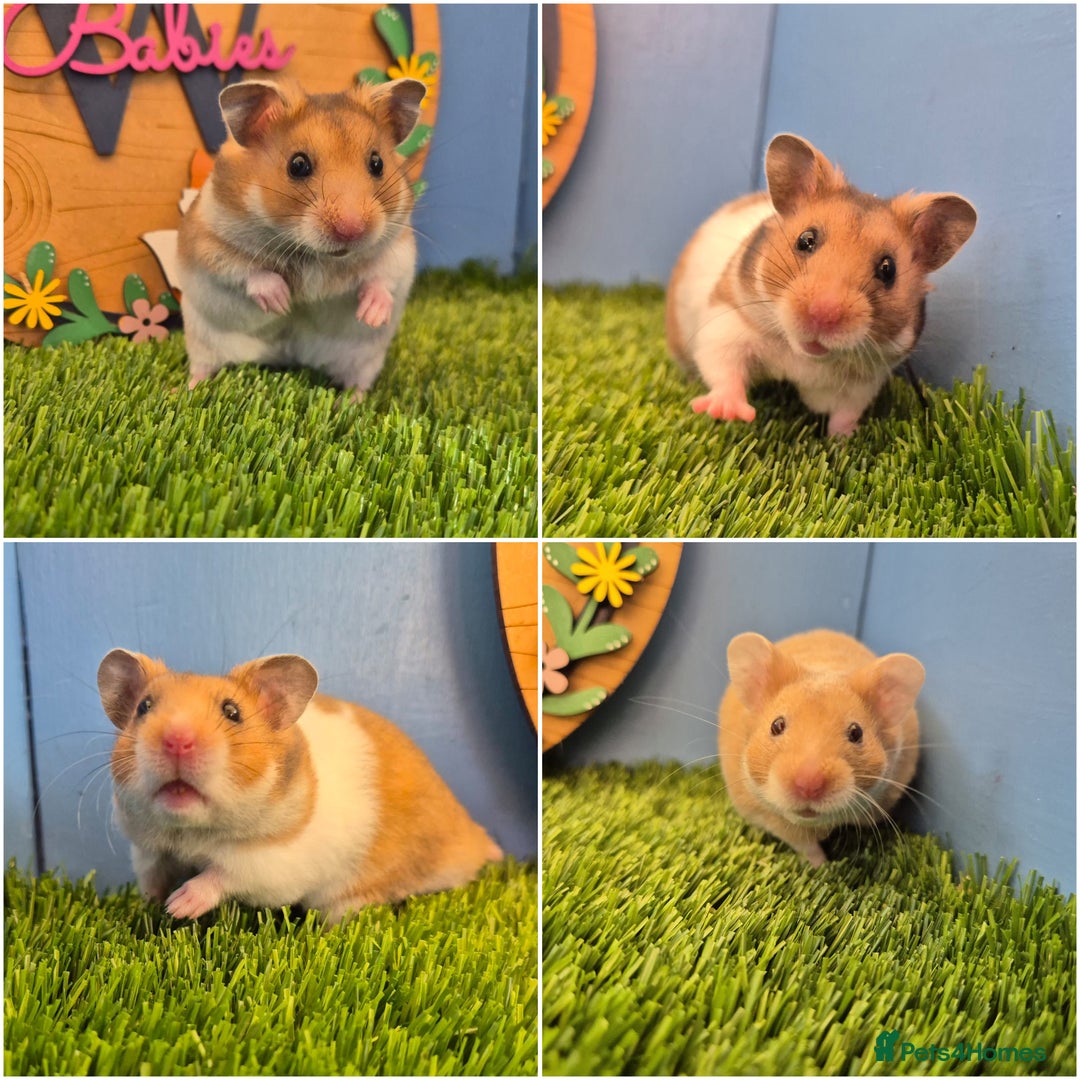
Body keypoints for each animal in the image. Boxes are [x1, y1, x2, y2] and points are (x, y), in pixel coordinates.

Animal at [97, 649, 502, 922]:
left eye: (232, 712)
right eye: (144, 707)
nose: (176, 740)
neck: (192, 833)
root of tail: (472, 835)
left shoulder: (271, 865)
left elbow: (221, 876)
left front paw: (179, 906)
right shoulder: (148, 849)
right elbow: (151, 875)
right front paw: (150, 903)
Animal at [177, 76, 426, 400]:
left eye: (377, 163)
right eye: (297, 165)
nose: (352, 229)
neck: (316, 255)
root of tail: (289, 356)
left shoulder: (400, 246)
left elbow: (384, 278)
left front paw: (371, 315)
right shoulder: (207, 242)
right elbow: (246, 270)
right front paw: (282, 302)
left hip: (365, 359)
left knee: (357, 383)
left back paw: (351, 403)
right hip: (202, 340)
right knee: (202, 369)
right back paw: (183, 391)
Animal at [666, 134, 977, 435]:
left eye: (888, 269)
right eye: (806, 240)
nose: (822, 314)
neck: (802, 356)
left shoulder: (864, 380)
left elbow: (846, 412)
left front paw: (847, 439)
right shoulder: (728, 321)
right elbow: (724, 367)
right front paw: (728, 413)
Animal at [719, 629, 924, 866]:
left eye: (856, 733)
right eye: (776, 725)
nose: (808, 786)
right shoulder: (772, 817)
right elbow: (806, 845)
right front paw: (822, 867)